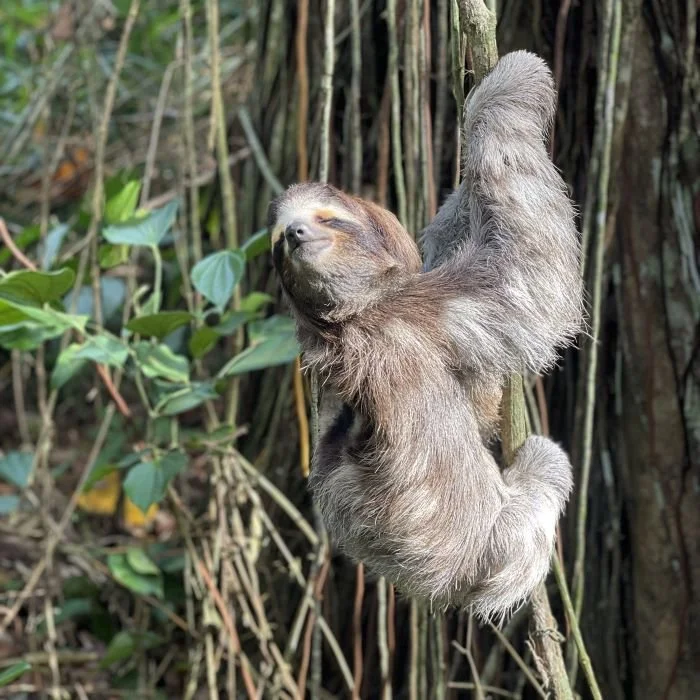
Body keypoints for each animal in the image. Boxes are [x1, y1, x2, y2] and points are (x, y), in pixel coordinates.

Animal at [268, 51, 583, 620]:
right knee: (542, 481)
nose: (297, 234)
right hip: (499, 552)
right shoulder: (417, 321)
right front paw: (508, 82)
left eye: (328, 219)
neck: (351, 319)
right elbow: (530, 279)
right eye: (282, 239)